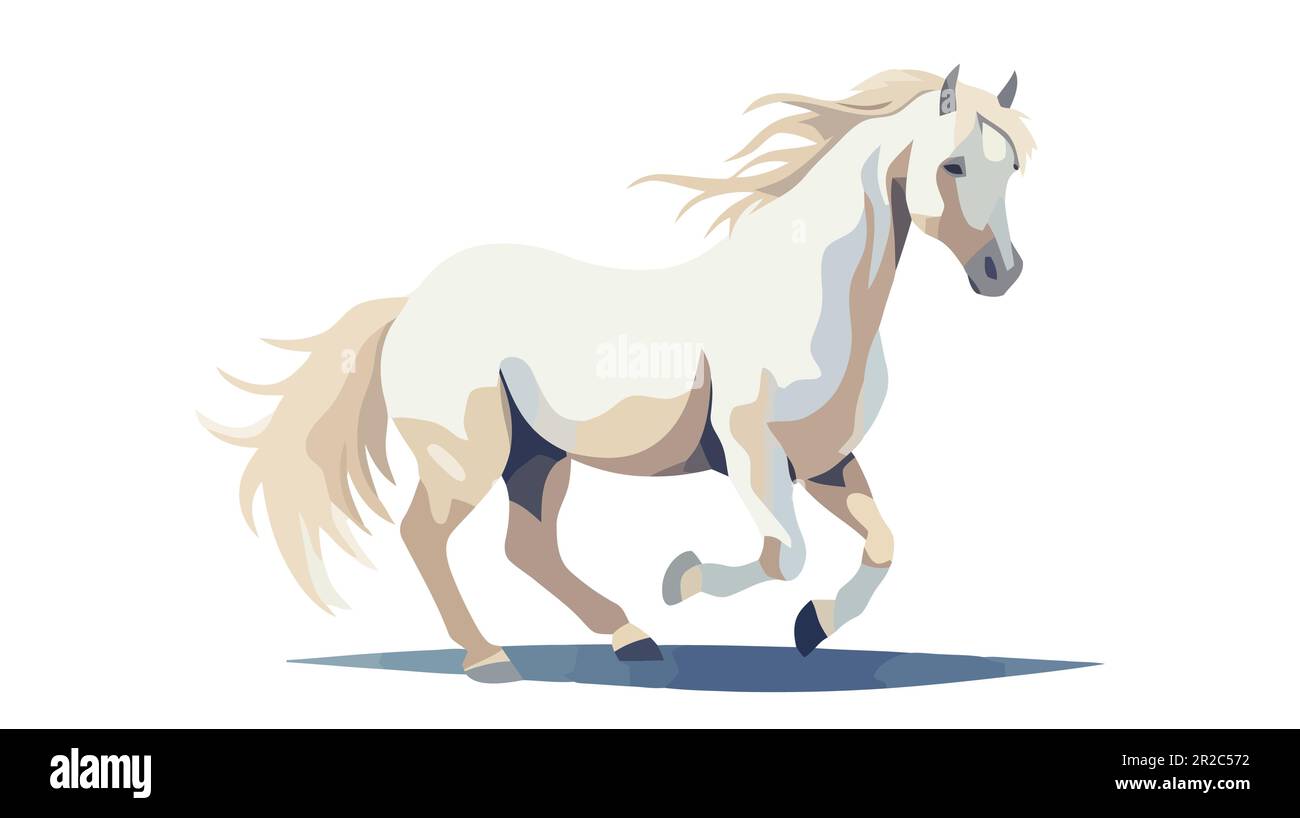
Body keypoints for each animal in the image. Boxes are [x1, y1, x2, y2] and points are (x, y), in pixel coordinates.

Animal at [203, 67, 1034, 683]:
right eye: (953, 163)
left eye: (1014, 166)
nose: (1002, 273)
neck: (810, 296)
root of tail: (410, 306)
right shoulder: (753, 456)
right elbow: (783, 555)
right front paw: (683, 579)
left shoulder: (826, 460)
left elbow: (883, 545)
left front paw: (811, 629)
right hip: (469, 458)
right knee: (425, 537)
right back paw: (490, 657)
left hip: (539, 457)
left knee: (527, 548)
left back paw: (632, 638)